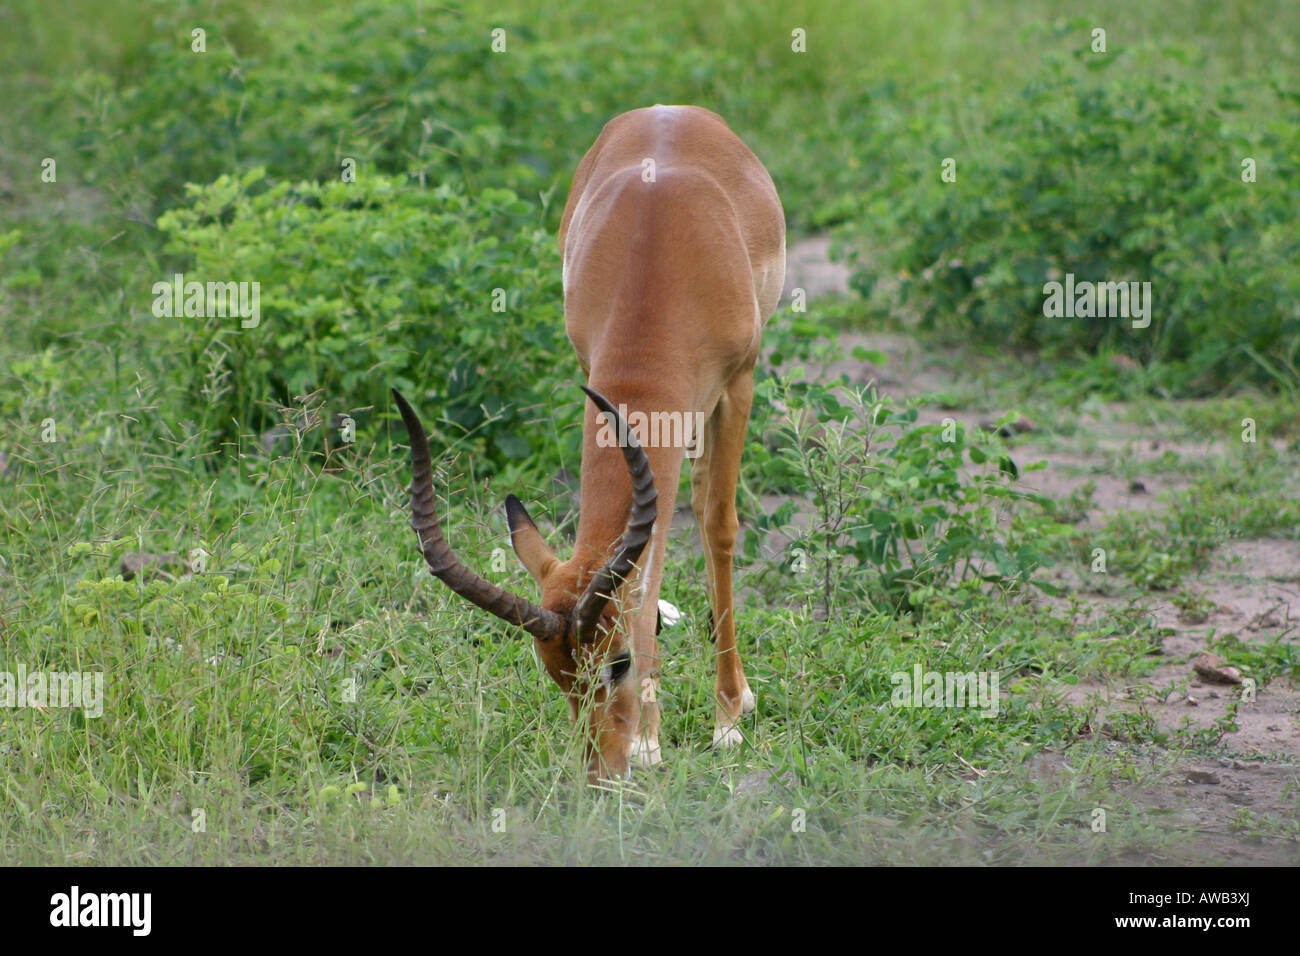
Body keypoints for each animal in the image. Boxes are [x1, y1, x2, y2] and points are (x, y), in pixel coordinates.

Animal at [394, 105, 785, 780]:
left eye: (616, 661)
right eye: (555, 673)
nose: (603, 771)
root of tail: (669, 109)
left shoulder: (739, 382)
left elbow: (718, 525)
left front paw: (727, 721)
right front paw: (652, 739)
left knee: (709, 513)